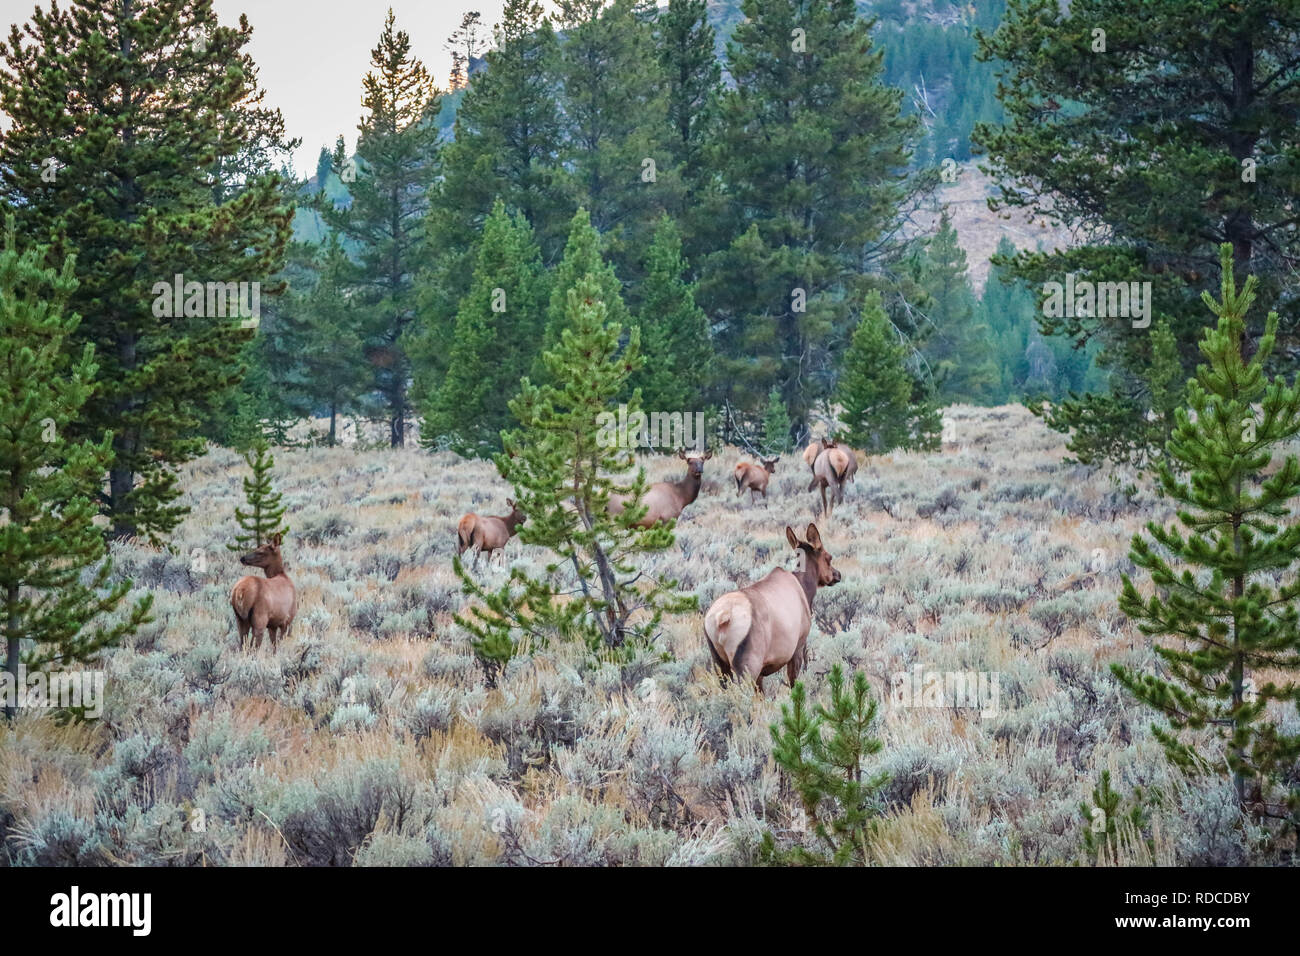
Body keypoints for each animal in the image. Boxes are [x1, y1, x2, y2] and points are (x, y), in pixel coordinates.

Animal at [703, 523, 841, 692]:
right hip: (747, 665)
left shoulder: (762, 671)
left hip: (719, 663)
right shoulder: (798, 647)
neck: (804, 588)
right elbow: (794, 685)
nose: (837, 575)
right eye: (829, 557)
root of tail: (722, 618)